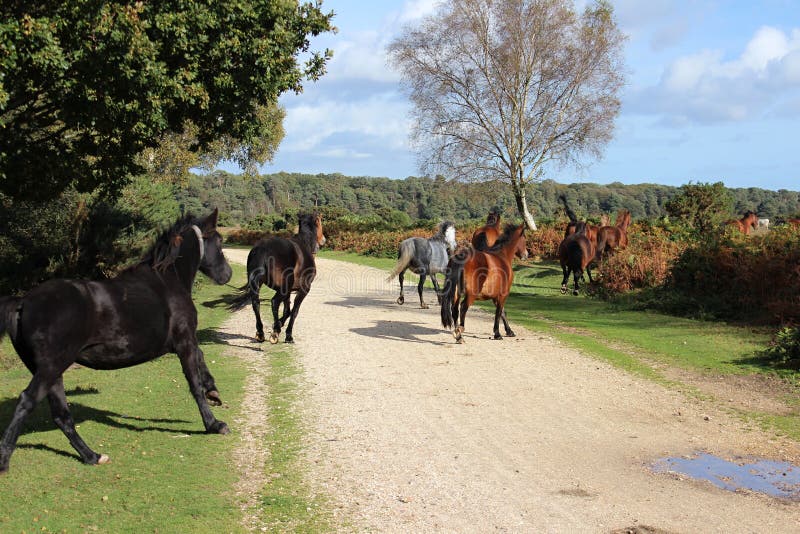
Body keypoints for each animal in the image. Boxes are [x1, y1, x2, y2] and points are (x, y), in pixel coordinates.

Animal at [0, 209, 232, 473]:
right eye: (220, 242)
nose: (227, 274)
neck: (167, 280)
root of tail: (23, 302)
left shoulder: (183, 343)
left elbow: (201, 360)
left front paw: (214, 392)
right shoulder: (184, 343)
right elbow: (195, 385)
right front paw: (214, 424)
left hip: (50, 371)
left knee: (61, 415)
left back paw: (92, 456)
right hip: (51, 368)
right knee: (27, 401)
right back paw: (5, 459)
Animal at [229, 213, 325, 344]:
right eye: (319, 222)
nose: (323, 240)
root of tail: (263, 249)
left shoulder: (288, 291)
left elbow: (287, 310)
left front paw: (278, 324)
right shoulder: (303, 289)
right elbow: (294, 311)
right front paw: (287, 334)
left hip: (260, 286)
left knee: (256, 303)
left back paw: (261, 332)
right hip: (284, 289)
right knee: (274, 302)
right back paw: (275, 332)